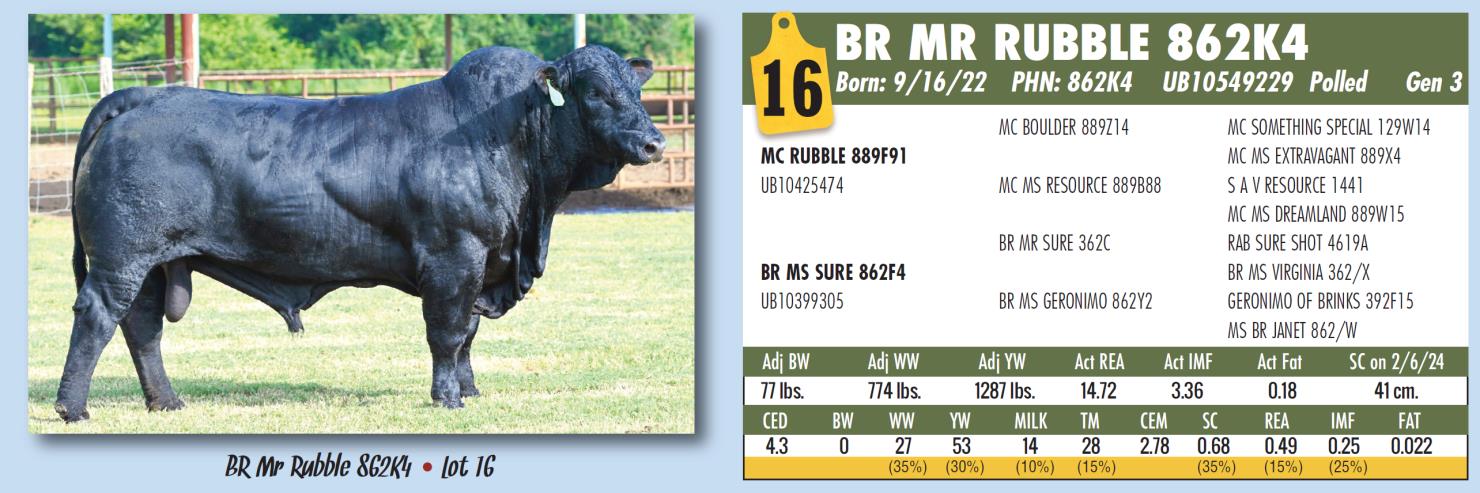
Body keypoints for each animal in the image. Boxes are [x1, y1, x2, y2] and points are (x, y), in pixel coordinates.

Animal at [54, 45, 666, 422]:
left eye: (636, 91)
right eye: (594, 92)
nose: (654, 142)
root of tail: (142, 96)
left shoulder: (483, 262)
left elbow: (467, 335)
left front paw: (470, 389)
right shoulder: (455, 257)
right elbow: (447, 334)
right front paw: (448, 398)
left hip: (153, 263)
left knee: (142, 326)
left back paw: (167, 402)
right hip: (122, 258)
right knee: (98, 317)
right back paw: (73, 407)